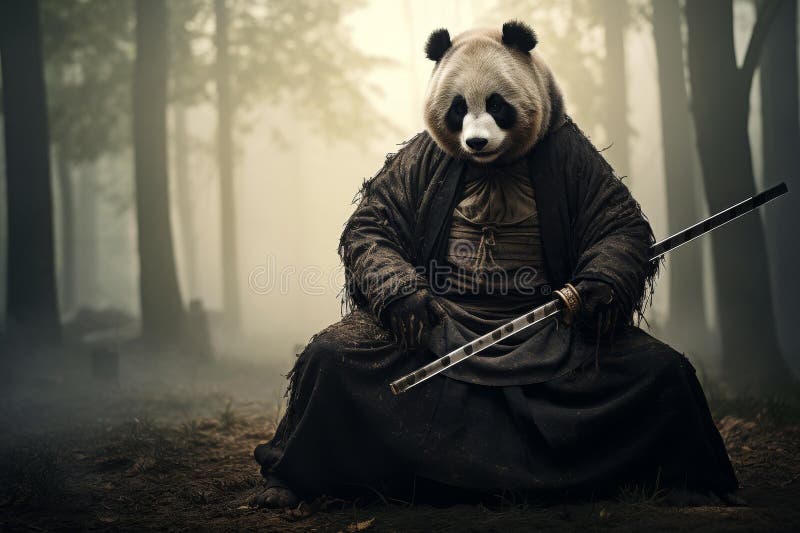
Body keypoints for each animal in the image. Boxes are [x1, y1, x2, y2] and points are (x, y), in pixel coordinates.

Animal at [252, 20, 740, 509]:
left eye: (497, 105)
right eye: (457, 109)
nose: (475, 142)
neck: (495, 168)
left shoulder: (568, 152)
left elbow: (617, 220)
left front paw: (593, 296)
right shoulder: (426, 157)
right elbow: (375, 221)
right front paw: (410, 305)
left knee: (661, 378)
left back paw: (696, 482)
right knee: (330, 362)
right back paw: (283, 481)